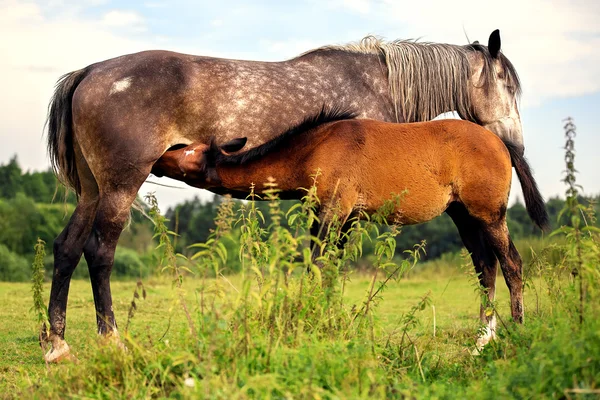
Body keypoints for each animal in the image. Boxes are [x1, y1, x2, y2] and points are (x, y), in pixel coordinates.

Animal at [43, 29, 520, 360]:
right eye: (507, 84)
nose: (513, 144)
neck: (379, 83)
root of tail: (89, 71)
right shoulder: (344, 207)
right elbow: (329, 265)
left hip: (92, 191)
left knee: (66, 247)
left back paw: (57, 344)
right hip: (120, 188)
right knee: (99, 252)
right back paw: (112, 340)